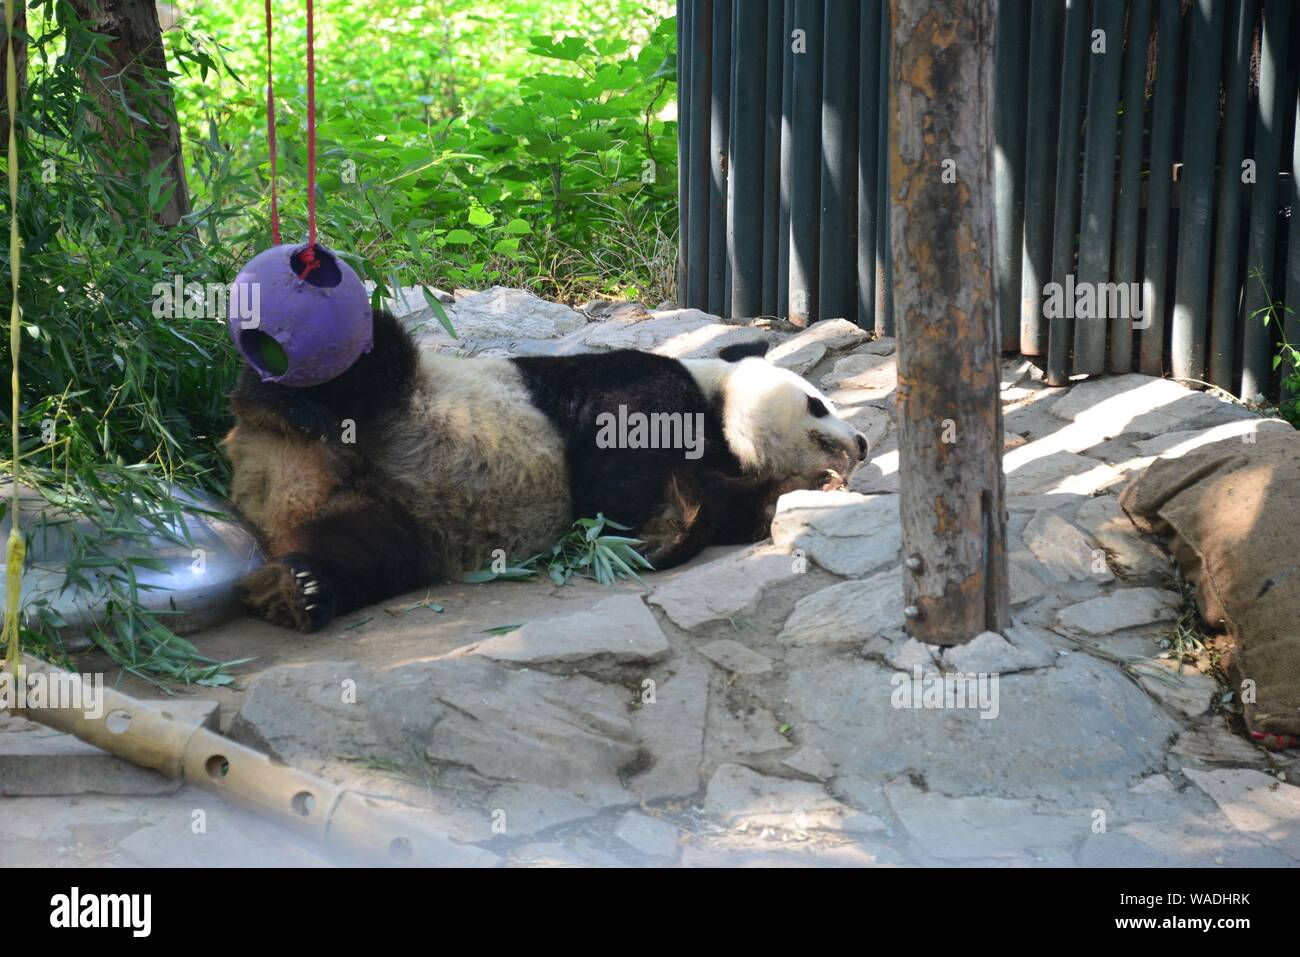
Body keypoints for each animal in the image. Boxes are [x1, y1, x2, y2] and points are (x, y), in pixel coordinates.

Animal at [225, 309, 869, 632]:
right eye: (819, 403)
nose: (862, 442)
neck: (717, 406)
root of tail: (277, 478)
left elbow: (733, 503)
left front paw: (808, 488)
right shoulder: (640, 386)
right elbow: (612, 472)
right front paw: (663, 530)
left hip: (388, 516)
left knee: (363, 551)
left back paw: (299, 591)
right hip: (403, 397)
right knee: (366, 355)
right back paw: (289, 405)